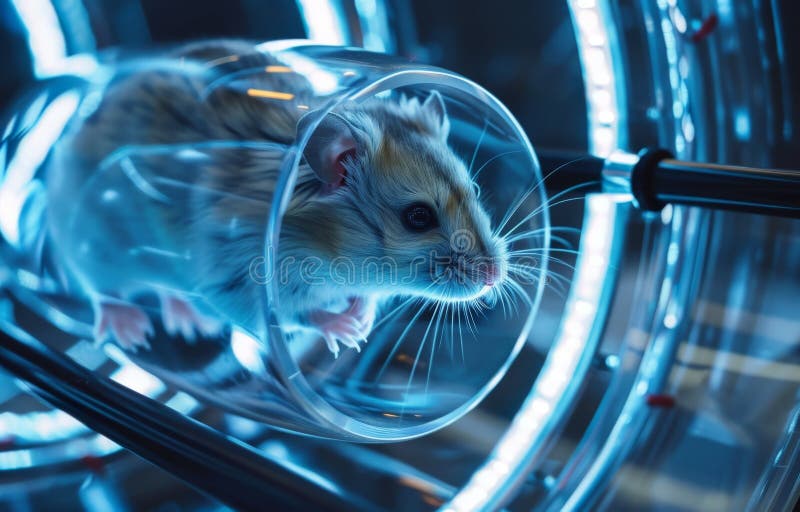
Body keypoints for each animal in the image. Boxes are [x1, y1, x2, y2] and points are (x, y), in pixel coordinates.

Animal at [47, 40, 509, 356]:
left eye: (475, 189)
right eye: (417, 217)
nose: (494, 277)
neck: (324, 245)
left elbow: (365, 297)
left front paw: (361, 317)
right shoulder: (235, 277)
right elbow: (299, 314)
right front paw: (348, 332)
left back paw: (189, 325)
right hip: (92, 245)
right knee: (100, 290)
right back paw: (135, 331)